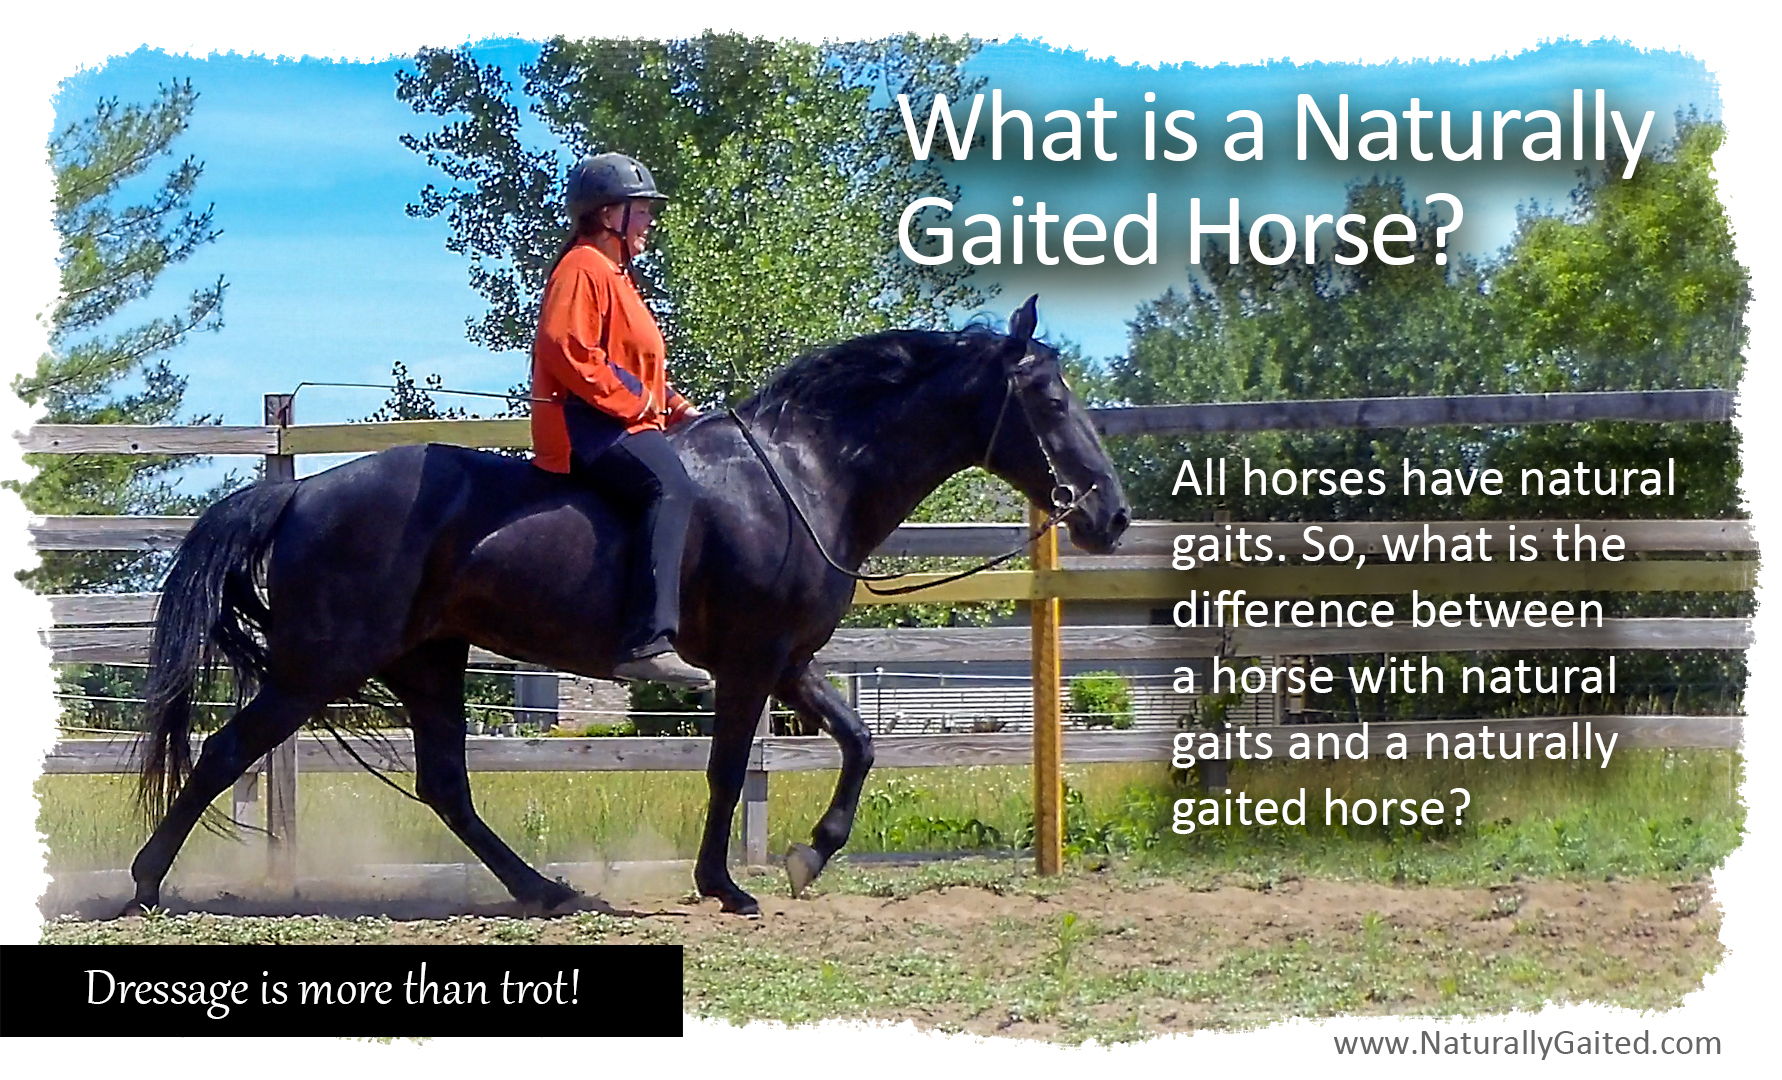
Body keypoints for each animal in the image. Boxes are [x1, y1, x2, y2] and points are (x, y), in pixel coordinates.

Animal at [129, 296, 1131, 916]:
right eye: (1049, 397)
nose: (1111, 515)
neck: (802, 476)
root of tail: (301, 493)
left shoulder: (788, 662)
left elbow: (859, 741)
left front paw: (812, 852)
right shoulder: (750, 666)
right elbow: (727, 772)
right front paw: (727, 885)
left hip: (427, 662)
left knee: (446, 788)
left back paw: (543, 891)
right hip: (319, 669)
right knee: (223, 753)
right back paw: (142, 883)